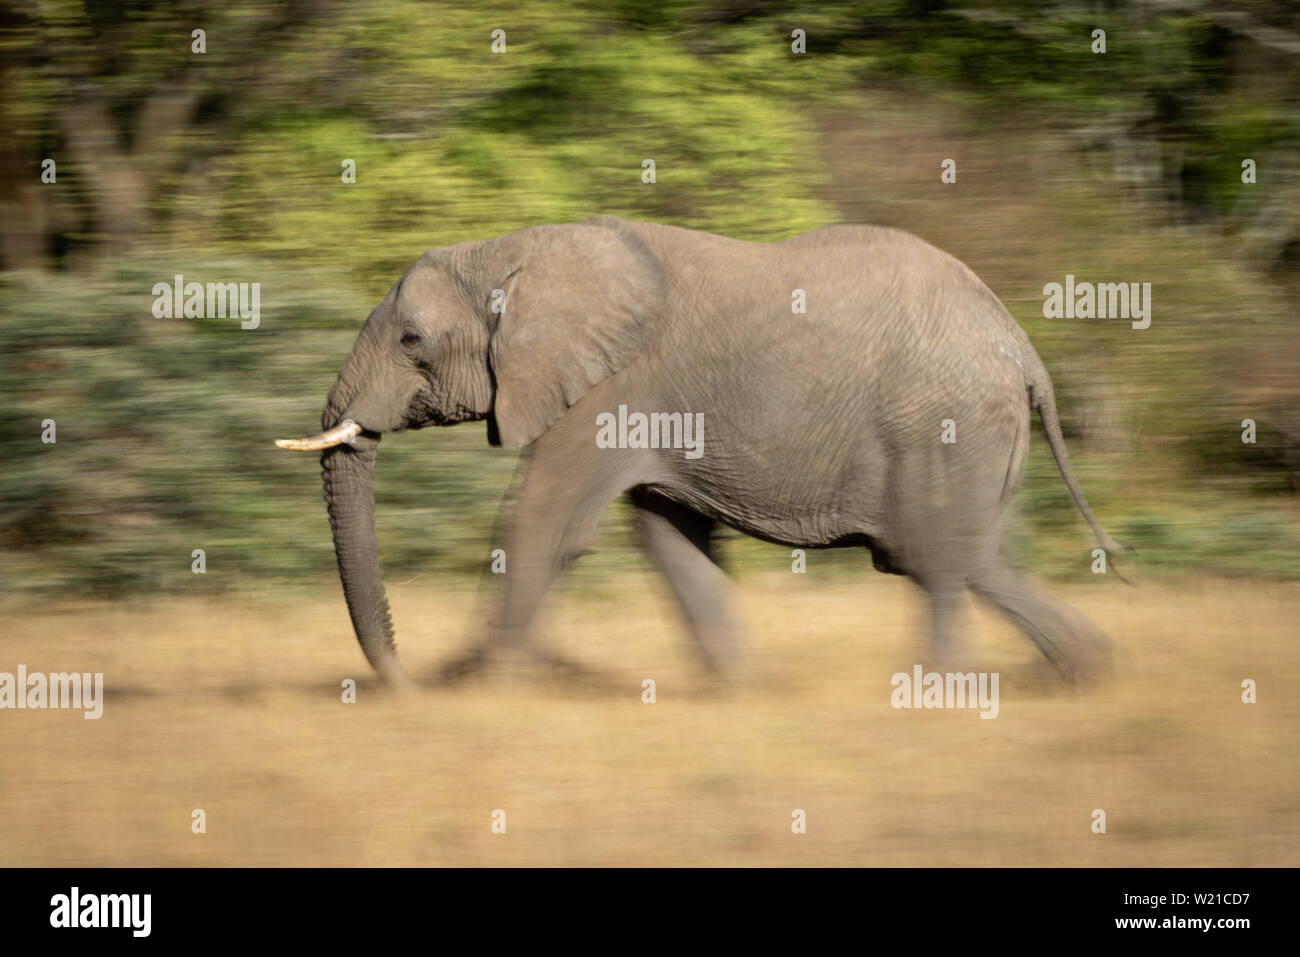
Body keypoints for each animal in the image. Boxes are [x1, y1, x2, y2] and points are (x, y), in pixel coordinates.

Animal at [276, 216, 1122, 689]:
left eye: (412, 341)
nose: (406, 679)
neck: (511, 249)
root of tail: (1023, 348)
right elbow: (666, 536)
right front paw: (742, 690)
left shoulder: (607, 388)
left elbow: (541, 521)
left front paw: (483, 687)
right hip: (975, 435)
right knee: (973, 558)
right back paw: (1085, 671)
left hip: (940, 425)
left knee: (937, 562)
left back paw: (937, 690)